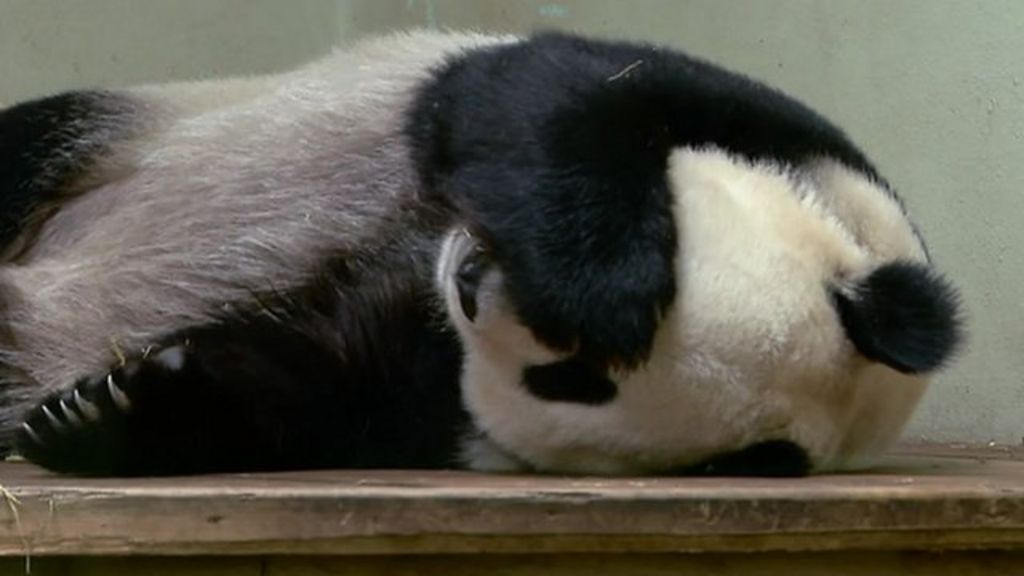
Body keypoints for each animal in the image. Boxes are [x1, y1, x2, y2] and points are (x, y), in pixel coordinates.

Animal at [0, 30, 961, 477]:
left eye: (569, 383)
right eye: (672, 256)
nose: (473, 278)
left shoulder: (429, 393)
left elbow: (321, 385)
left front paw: (108, 408)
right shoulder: (768, 127)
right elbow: (538, 107)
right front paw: (601, 289)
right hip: (118, 130)